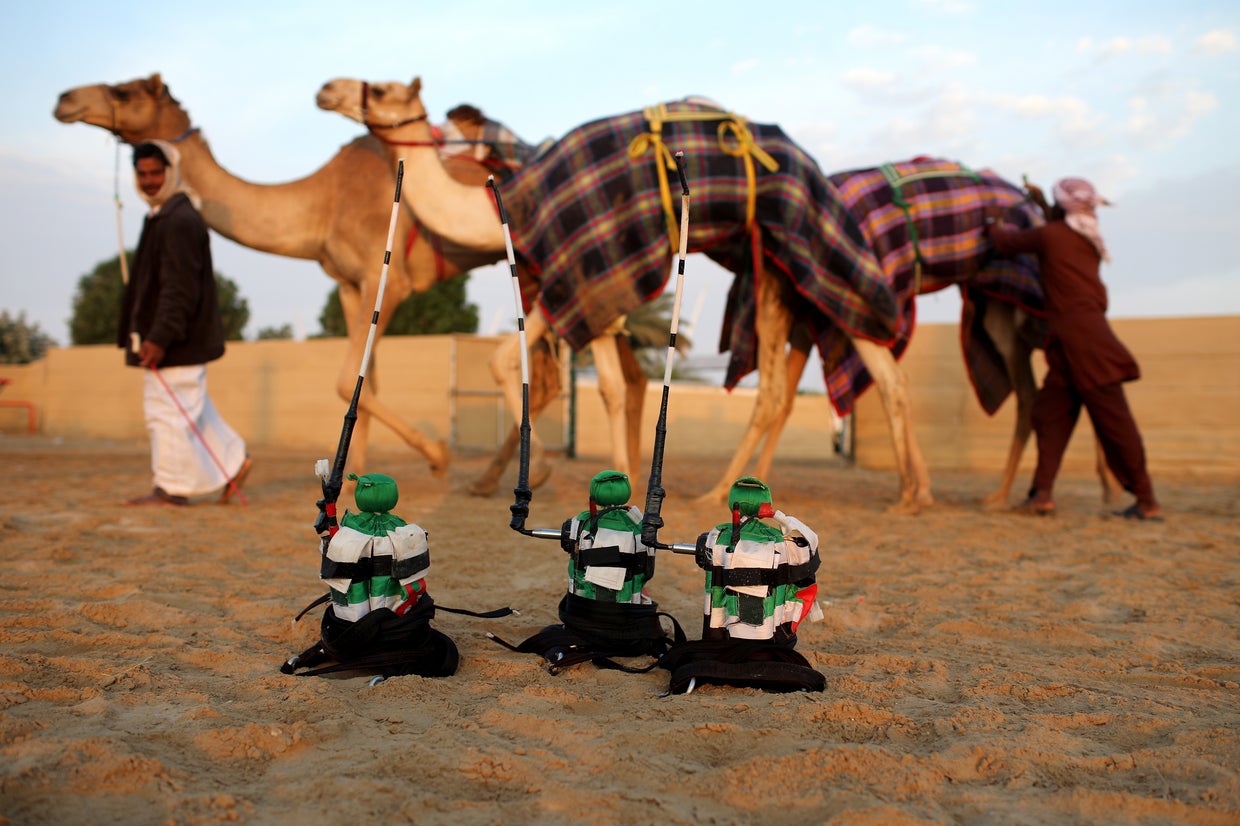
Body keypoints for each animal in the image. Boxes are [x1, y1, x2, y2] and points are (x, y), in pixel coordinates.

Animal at [53, 73, 545, 490]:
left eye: (124, 90)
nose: (64, 99)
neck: (322, 202)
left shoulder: (385, 278)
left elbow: (347, 379)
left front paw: (438, 455)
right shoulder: (350, 283)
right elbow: (366, 380)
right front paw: (356, 476)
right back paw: (492, 479)